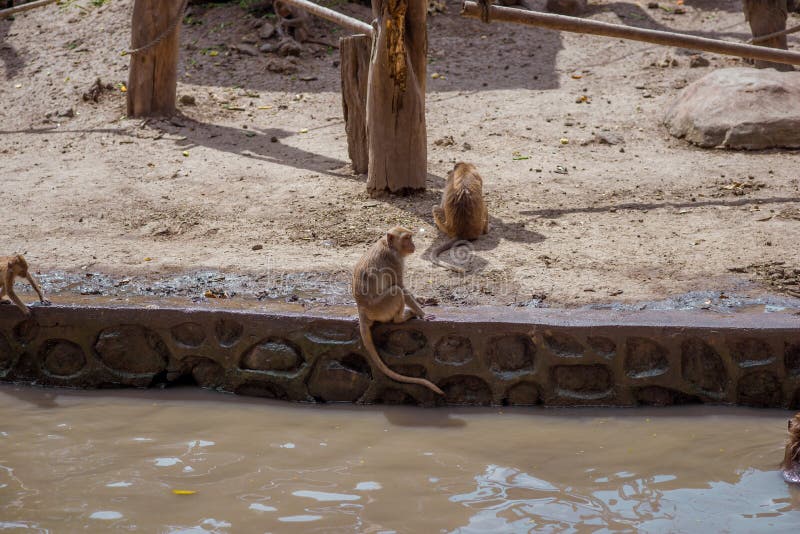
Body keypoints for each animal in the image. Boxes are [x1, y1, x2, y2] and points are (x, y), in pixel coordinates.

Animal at [352, 227, 444, 395]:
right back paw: (403, 317)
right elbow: (400, 286)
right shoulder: (393, 261)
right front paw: (422, 314)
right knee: (396, 291)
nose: (413, 244)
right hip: (381, 308)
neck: (388, 245)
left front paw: (424, 300)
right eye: (407, 238)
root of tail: (362, 309)